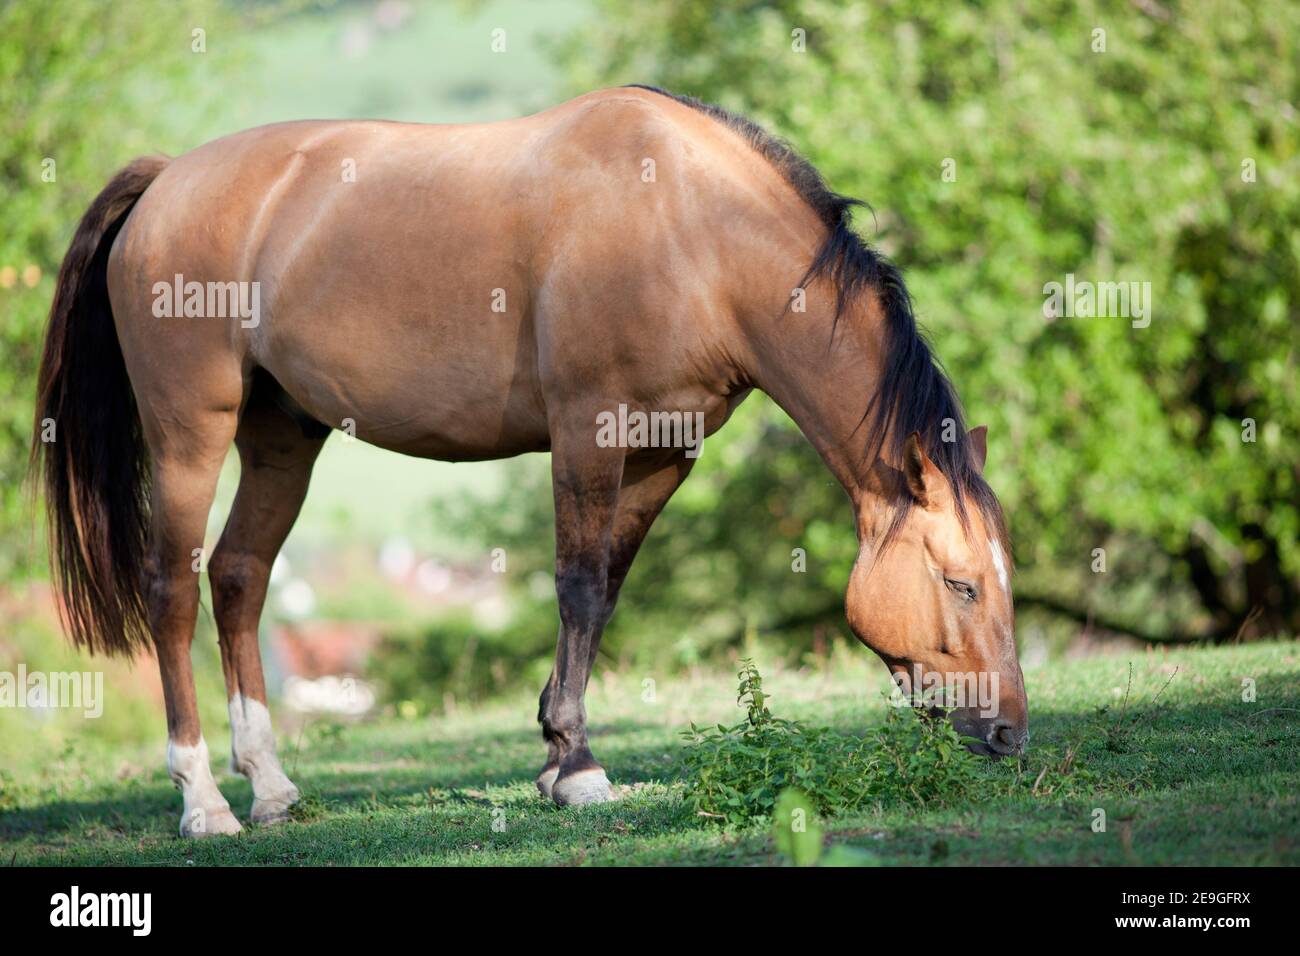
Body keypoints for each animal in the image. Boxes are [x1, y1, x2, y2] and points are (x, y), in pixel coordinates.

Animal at [32, 85, 1028, 837]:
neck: (689, 229)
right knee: (171, 591)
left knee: (239, 578)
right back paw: (204, 801)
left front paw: (553, 755)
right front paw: (580, 768)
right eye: (961, 582)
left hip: (283, 436)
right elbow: (578, 586)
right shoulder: (588, 430)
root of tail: (166, 180)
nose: (1012, 733)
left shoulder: (663, 455)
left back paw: (271, 787)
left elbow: (607, 590)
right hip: (190, 433)